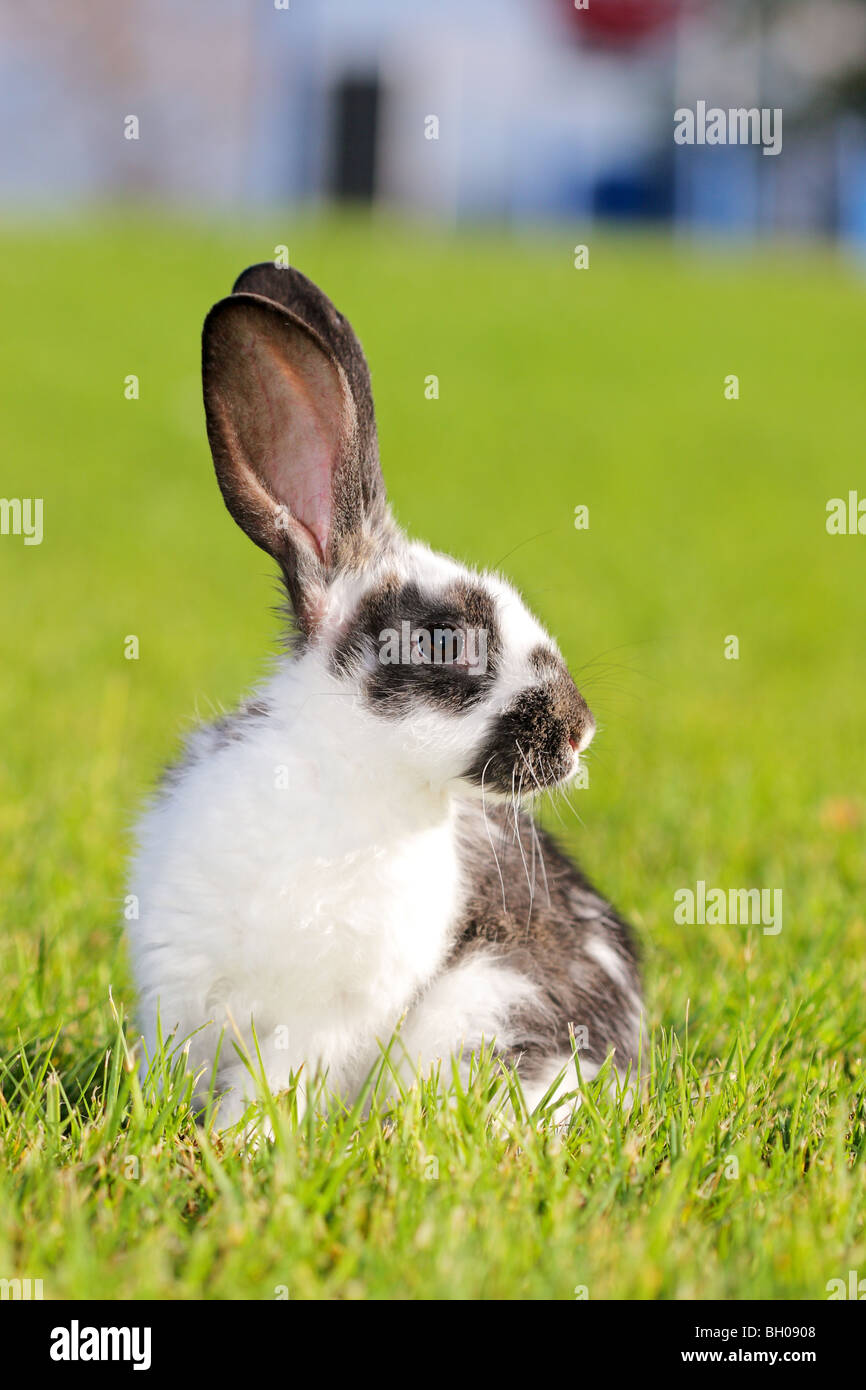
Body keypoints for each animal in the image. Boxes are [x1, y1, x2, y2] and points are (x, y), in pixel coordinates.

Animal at [127, 262, 643, 1129]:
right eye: (443, 642)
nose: (579, 733)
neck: (340, 778)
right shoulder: (180, 993)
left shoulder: (323, 1022)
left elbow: (272, 1090)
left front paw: (238, 1146)